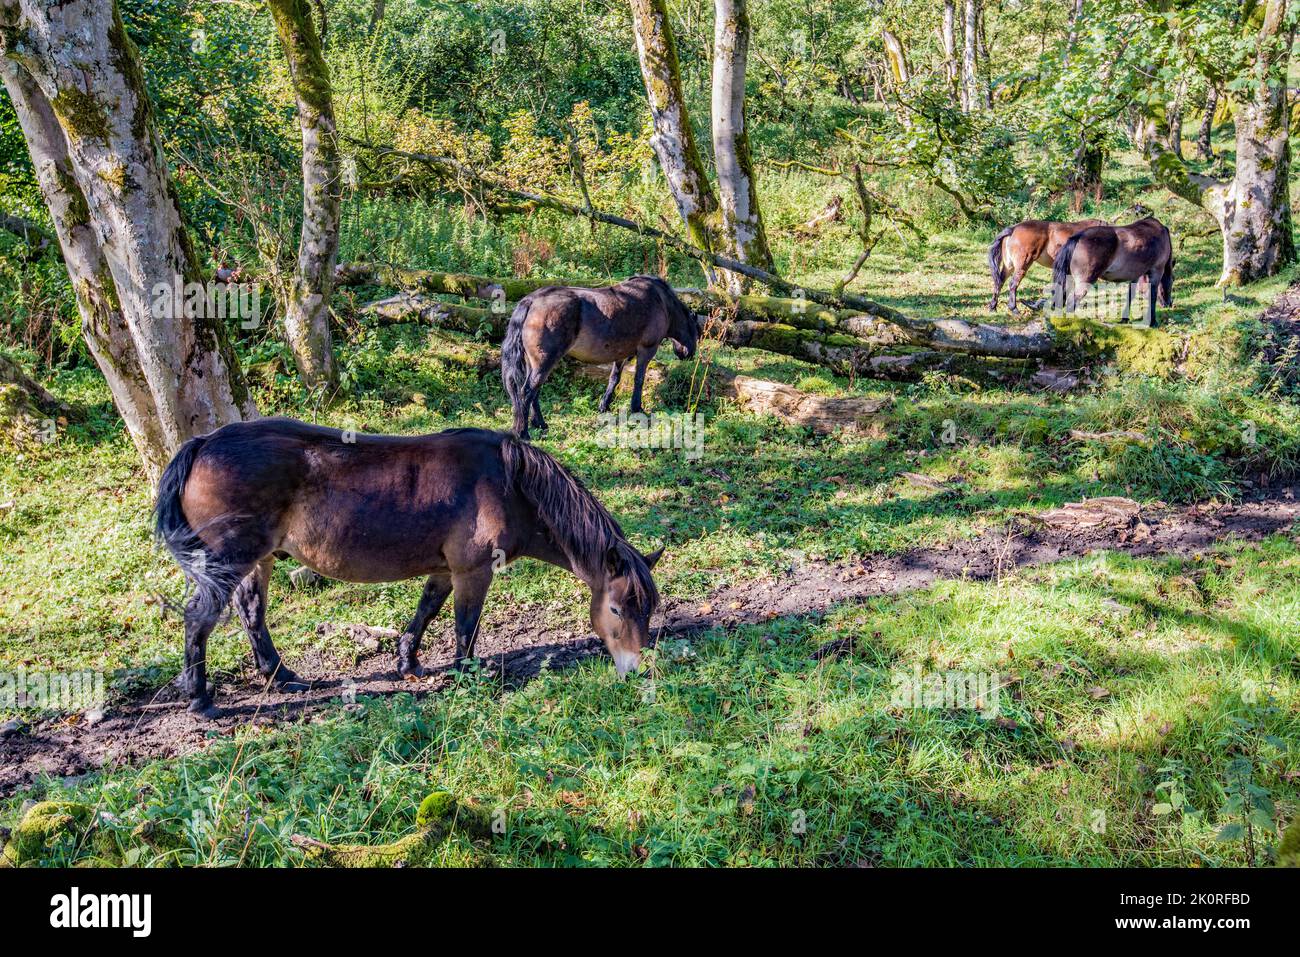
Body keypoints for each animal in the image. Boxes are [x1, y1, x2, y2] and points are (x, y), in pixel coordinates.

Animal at [153, 418, 662, 718]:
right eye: (616, 610)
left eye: (650, 609)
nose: (636, 670)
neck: (511, 483)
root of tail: (203, 444)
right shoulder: (473, 572)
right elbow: (465, 626)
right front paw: (465, 675)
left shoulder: (444, 569)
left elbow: (426, 611)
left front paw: (407, 661)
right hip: (229, 561)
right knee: (200, 619)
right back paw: (200, 699)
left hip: (256, 561)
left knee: (251, 613)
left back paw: (281, 676)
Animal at [501, 275, 699, 440]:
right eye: (697, 331)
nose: (689, 354)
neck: (661, 301)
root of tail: (532, 300)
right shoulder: (646, 350)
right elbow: (639, 379)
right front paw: (637, 408)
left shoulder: (621, 355)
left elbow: (614, 379)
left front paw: (604, 405)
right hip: (545, 362)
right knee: (527, 391)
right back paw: (523, 432)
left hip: (535, 364)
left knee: (534, 391)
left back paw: (540, 423)